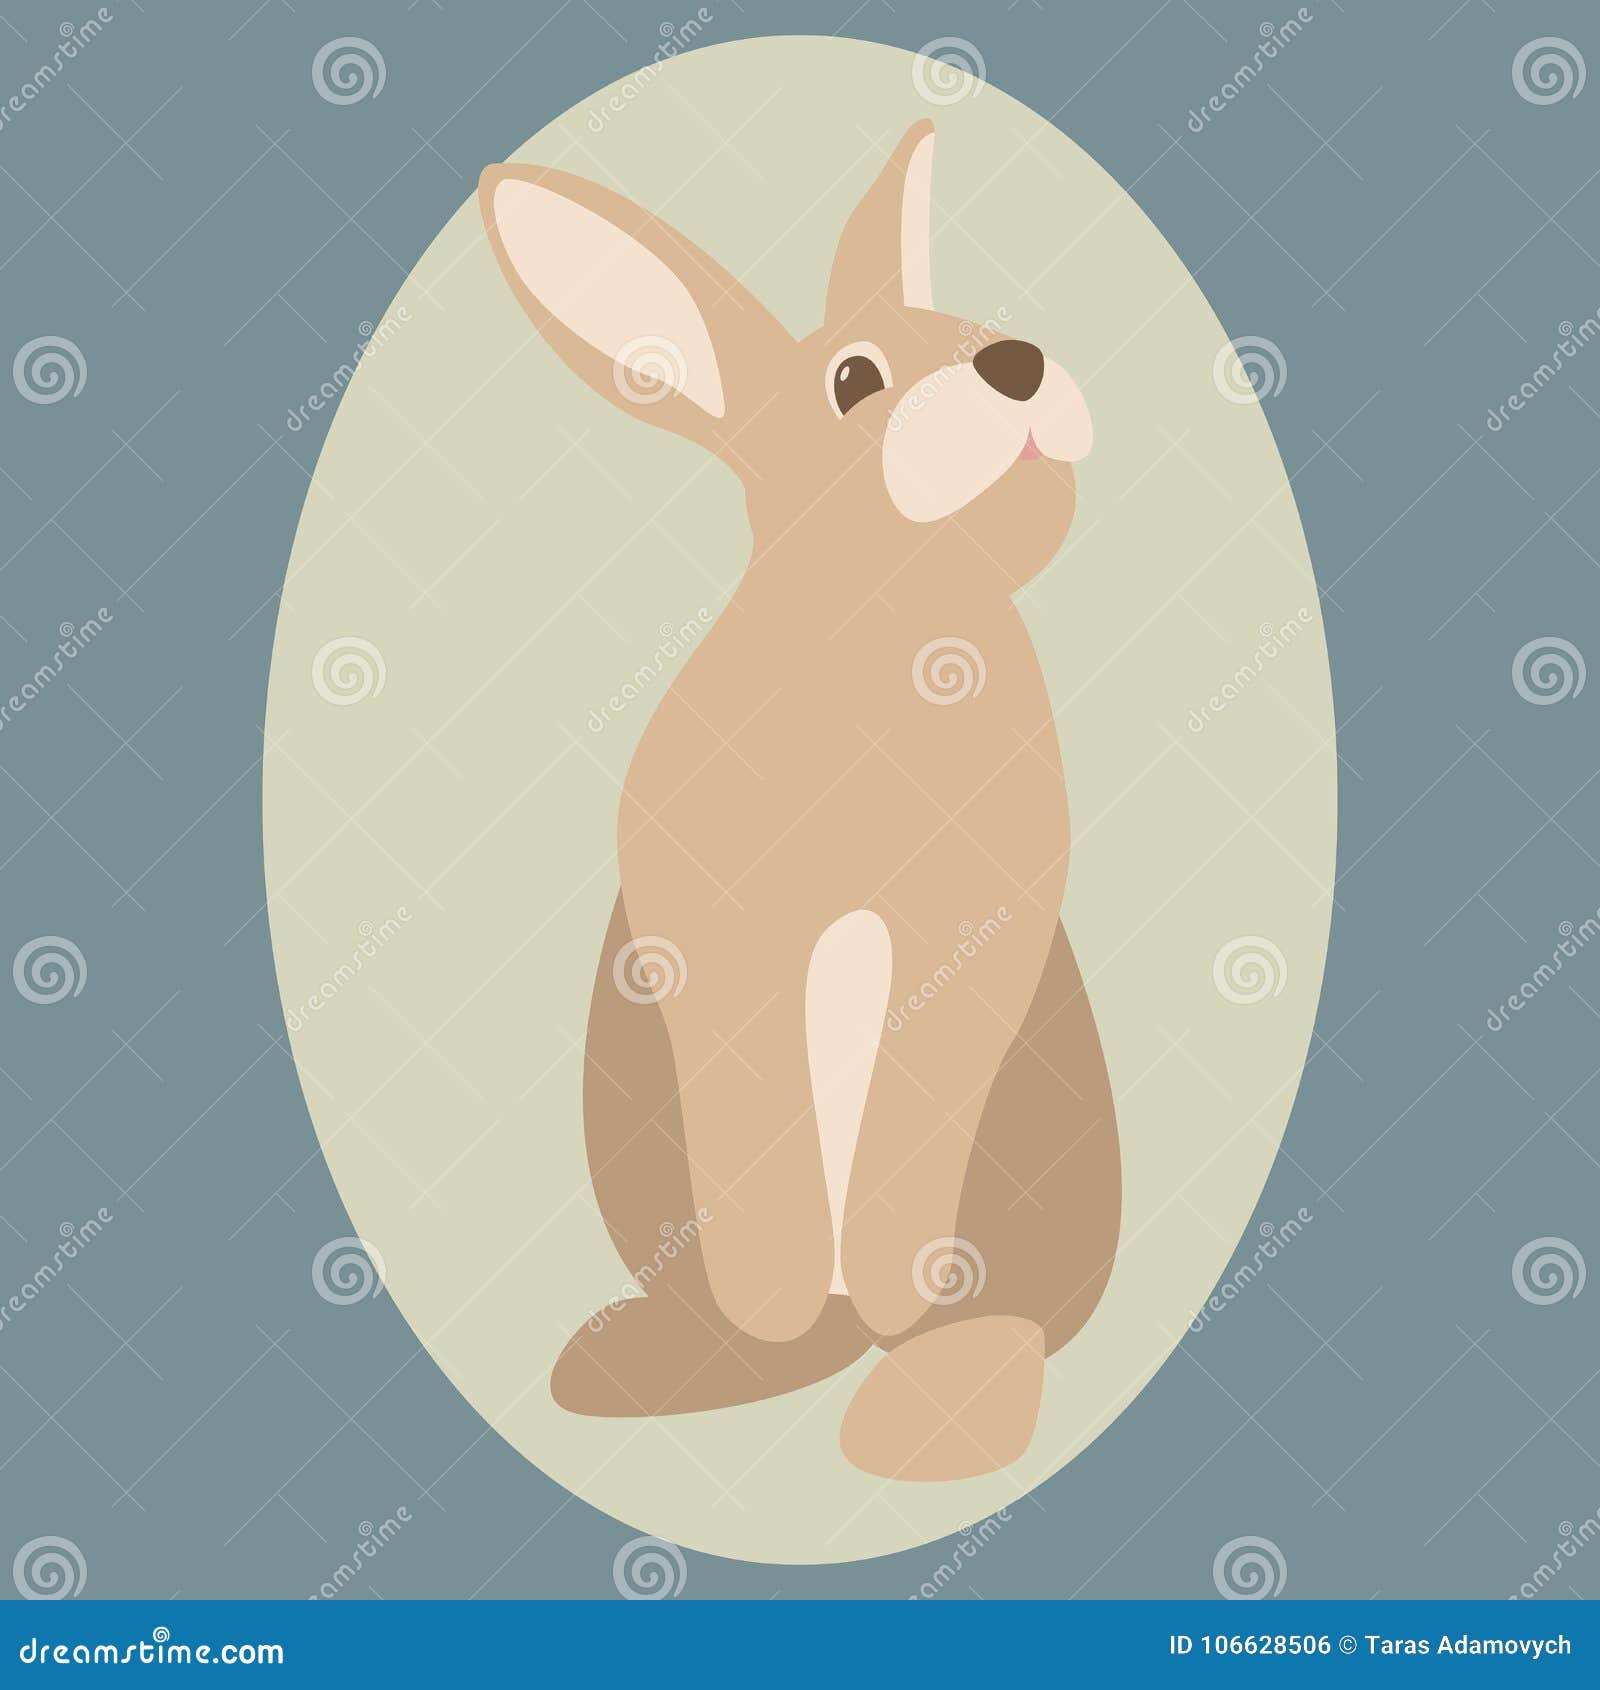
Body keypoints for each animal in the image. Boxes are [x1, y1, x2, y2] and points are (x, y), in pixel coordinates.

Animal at [479, 119, 1120, 1481]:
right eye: (853, 380)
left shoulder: (969, 946)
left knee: (1011, 1319)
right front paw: (768, 1301)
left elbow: (917, 1118)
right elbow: (753, 1137)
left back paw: (922, 1412)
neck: (882, 630)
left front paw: (901, 1289)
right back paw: (660, 1363)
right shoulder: (718, 952)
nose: (1016, 362)